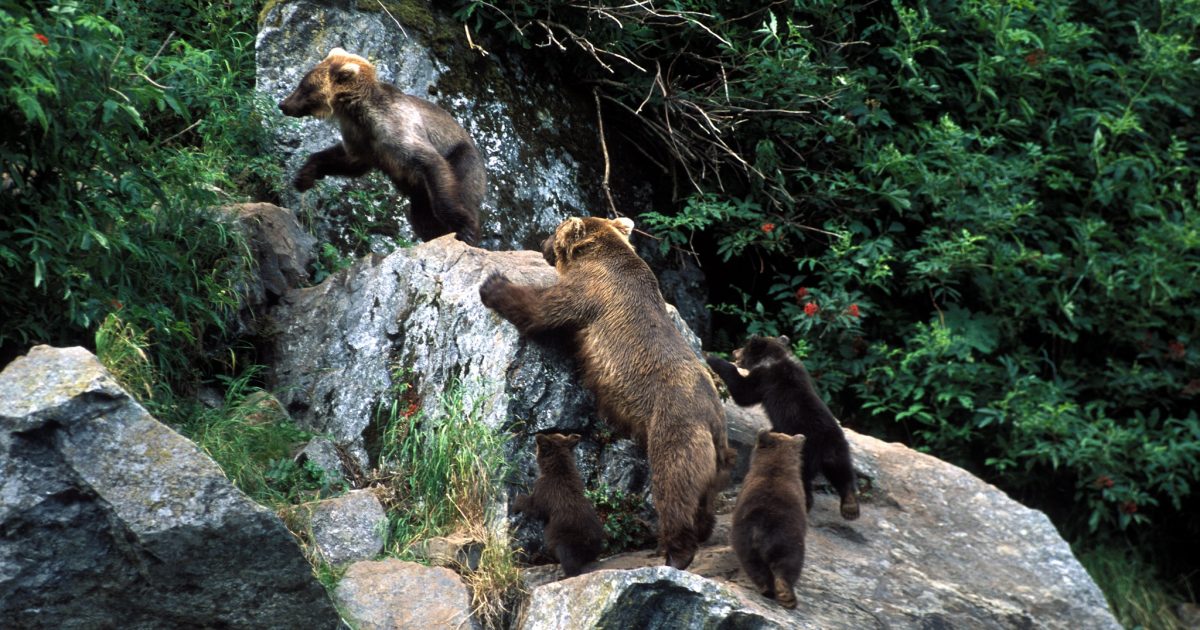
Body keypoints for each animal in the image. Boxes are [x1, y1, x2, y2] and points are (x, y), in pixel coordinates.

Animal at [278, 48, 485, 245]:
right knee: (420, 217)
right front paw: (304, 176)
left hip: (462, 161)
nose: (283, 104)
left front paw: (464, 228)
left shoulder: (396, 130)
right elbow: (348, 160)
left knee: (460, 191)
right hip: (420, 194)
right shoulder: (361, 140)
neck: (358, 113)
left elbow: (429, 161)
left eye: (304, 86)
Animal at [512, 433, 605, 578]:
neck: (558, 469)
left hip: (567, 542)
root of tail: (590, 542)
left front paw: (515, 506)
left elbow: (535, 508)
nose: (537, 437)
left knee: (569, 560)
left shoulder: (545, 491)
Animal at [707, 335, 860, 520]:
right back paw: (850, 507)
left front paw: (713, 358)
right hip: (837, 447)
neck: (774, 358)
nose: (734, 351)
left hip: (805, 451)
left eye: (744, 346)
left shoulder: (764, 378)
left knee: (803, 477)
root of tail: (822, 445)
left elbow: (743, 392)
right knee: (842, 472)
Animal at [731, 430, 808, 608]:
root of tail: (761, 530)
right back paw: (788, 596)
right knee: (789, 565)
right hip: (787, 538)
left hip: (744, 541)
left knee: (755, 567)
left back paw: (767, 590)